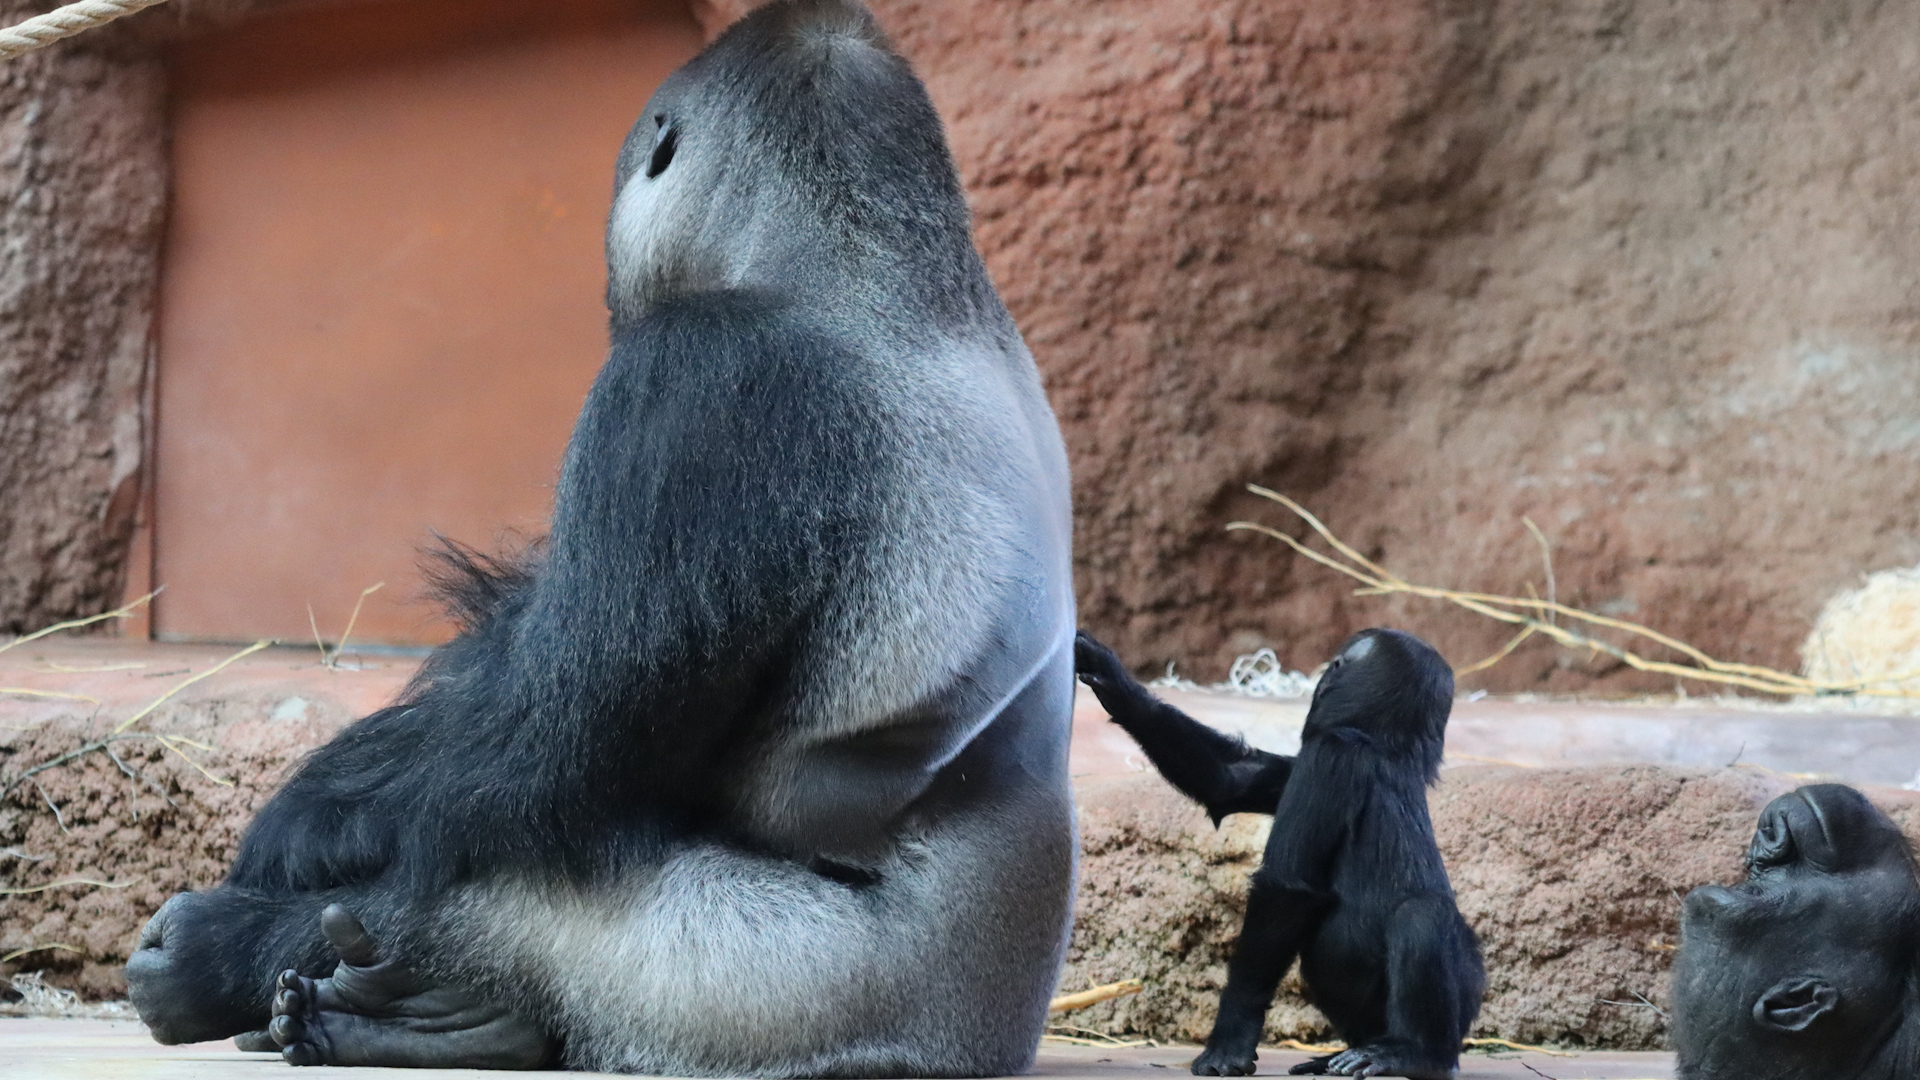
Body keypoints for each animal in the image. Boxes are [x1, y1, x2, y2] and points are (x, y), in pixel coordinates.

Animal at [123, 2, 1079, 1073]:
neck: (878, 271)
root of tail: (998, 1032)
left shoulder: (698, 373)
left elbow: (550, 740)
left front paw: (301, 827)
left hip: (785, 997)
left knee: (510, 868)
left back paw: (296, 975)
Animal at [1075, 629, 1483, 1079]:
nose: (1323, 677)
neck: (1387, 746)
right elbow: (1229, 779)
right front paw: (1114, 681)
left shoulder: (1331, 754)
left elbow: (1285, 890)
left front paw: (1231, 1036)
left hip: (1466, 999)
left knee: (1423, 916)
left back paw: (1415, 1054)